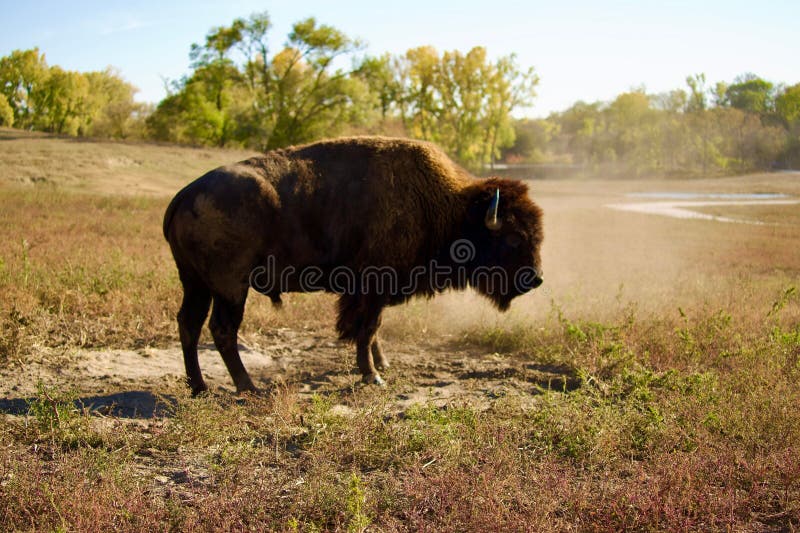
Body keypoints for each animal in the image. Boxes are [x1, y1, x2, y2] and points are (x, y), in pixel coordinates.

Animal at [163, 136, 543, 394]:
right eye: (513, 237)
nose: (536, 279)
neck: (448, 208)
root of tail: (184, 194)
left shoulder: (372, 293)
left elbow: (371, 330)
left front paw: (381, 364)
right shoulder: (374, 286)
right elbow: (368, 328)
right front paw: (373, 375)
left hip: (195, 283)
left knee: (189, 324)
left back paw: (199, 387)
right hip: (231, 287)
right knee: (222, 329)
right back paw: (248, 387)